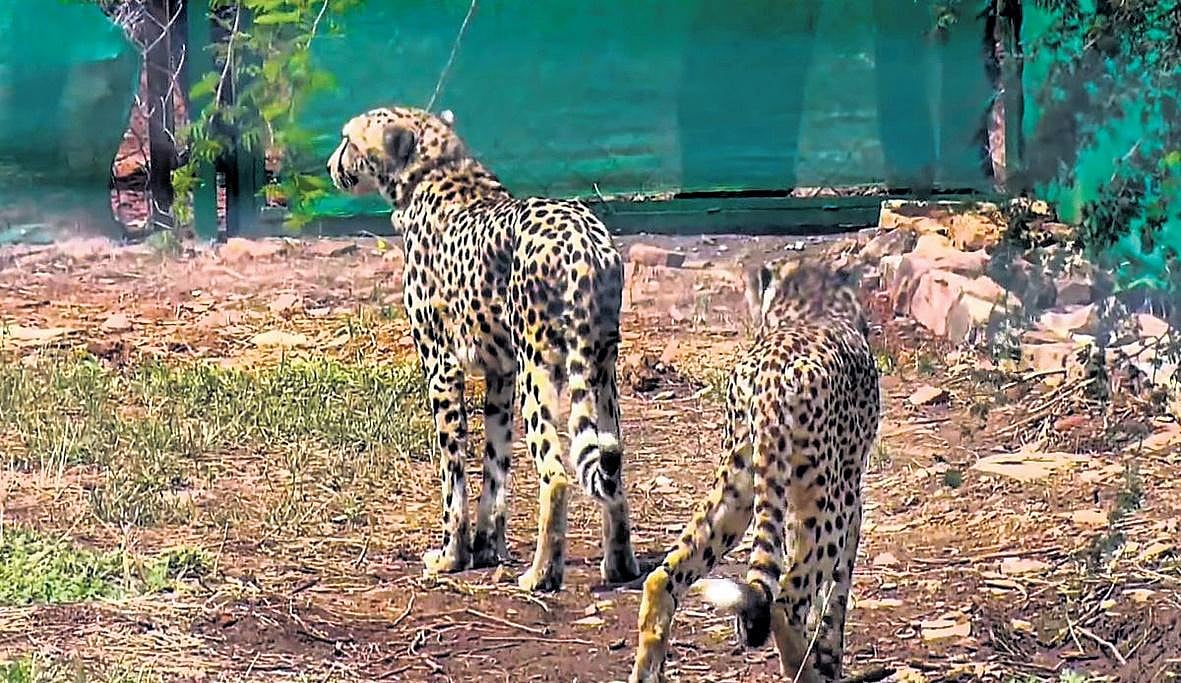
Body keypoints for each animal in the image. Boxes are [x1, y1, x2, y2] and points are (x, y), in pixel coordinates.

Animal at [326, 105, 640, 593]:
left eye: (348, 140)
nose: (329, 165)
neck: (434, 172)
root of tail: (584, 239)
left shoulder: (443, 368)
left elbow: (453, 472)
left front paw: (451, 556)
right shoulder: (500, 374)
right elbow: (495, 467)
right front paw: (487, 548)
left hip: (539, 368)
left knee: (556, 475)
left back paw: (541, 574)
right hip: (601, 370)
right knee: (611, 465)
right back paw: (619, 563)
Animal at [629, 258, 881, 682]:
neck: (810, 305)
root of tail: (770, 377)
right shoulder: (851, 496)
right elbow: (837, 592)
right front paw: (829, 657)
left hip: (737, 491)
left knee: (663, 578)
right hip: (827, 503)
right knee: (786, 600)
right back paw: (805, 671)